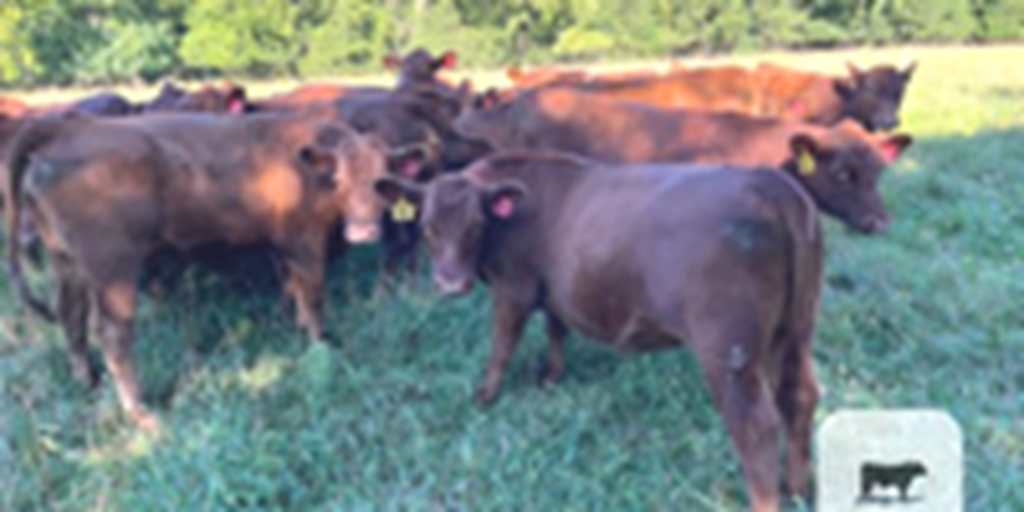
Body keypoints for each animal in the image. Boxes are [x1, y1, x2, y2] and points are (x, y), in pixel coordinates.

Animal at [3, 109, 392, 430]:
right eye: (340, 177)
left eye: (382, 181)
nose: (364, 230)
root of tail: (66, 127)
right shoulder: (307, 242)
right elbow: (313, 296)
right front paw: (321, 344)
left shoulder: (286, 247)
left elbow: (293, 288)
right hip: (113, 269)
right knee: (113, 333)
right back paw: (140, 412)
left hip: (66, 262)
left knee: (71, 317)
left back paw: (88, 382)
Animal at [374, 151, 824, 512]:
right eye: (428, 227)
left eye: (475, 225)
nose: (450, 284)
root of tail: (769, 180)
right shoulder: (553, 290)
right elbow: (556, 328)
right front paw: (550, 376)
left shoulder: (513, 289)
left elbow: (502, 346)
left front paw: (485, 395)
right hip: (793, 332)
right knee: (798, 397)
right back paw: (798, 488)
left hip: (730, 348)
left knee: (756, 425)